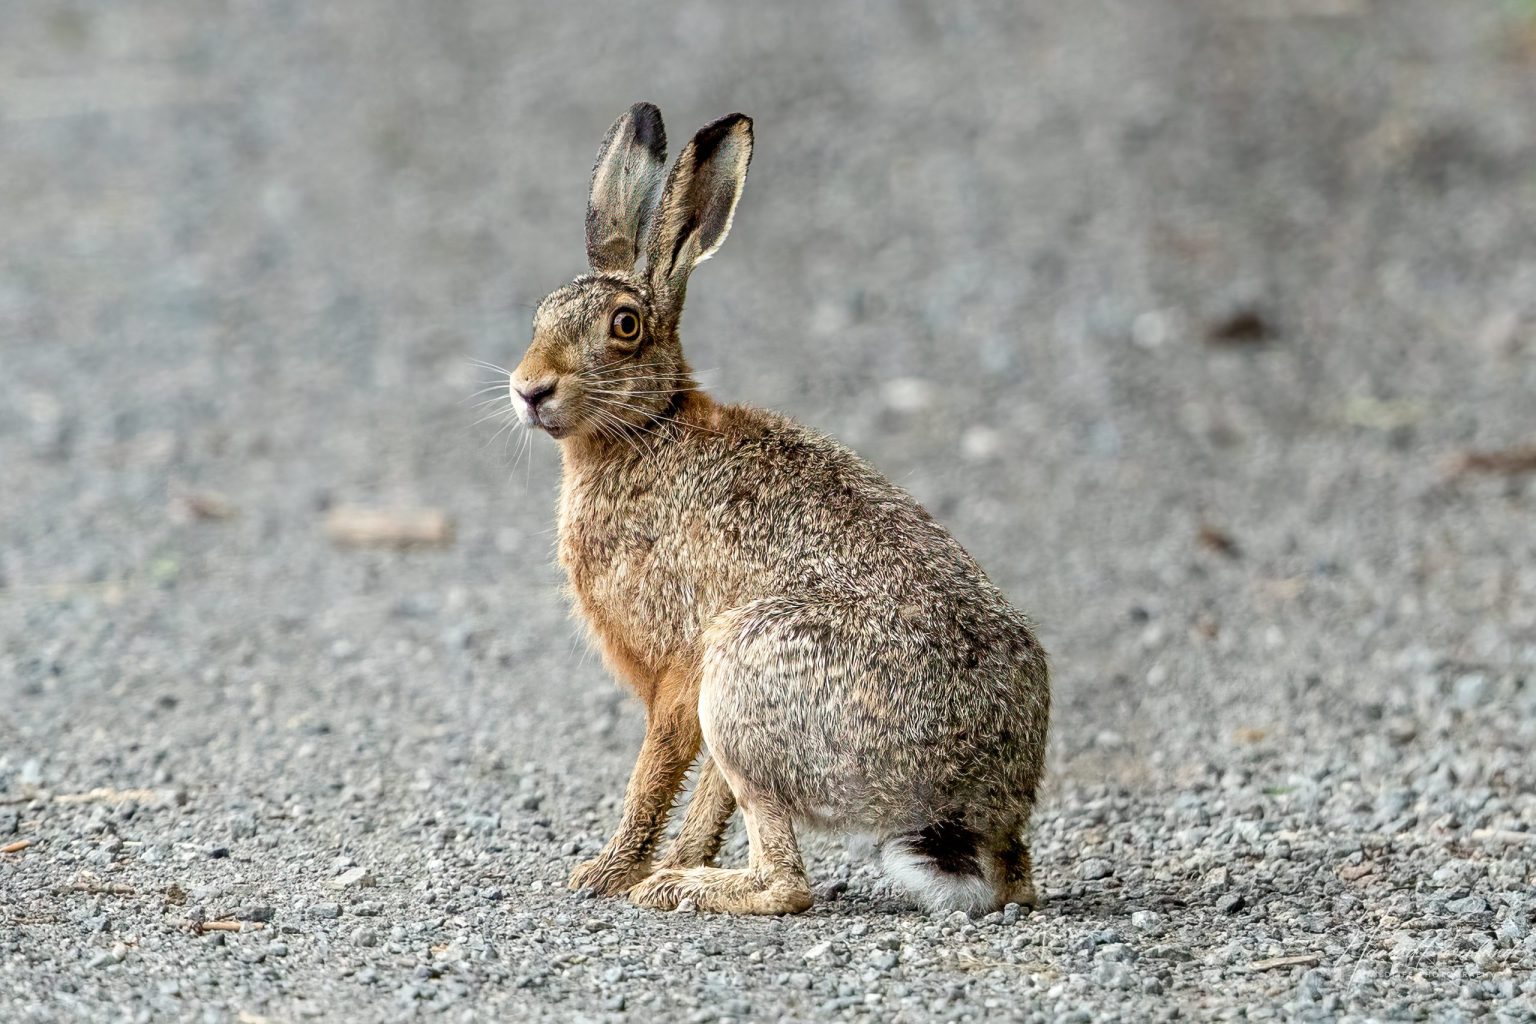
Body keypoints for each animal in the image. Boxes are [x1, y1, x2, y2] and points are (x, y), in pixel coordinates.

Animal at [506, 102, 1051, 915]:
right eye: (542, 313)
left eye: (625, 326)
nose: (529, 388)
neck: (646, 429)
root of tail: (987, 806)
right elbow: (706, 800)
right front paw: (663, 859)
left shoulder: (683, 672)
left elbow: (655, 773)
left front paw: (606, 874)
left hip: (747, 685)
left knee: (789, 885)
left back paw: (681, 889)